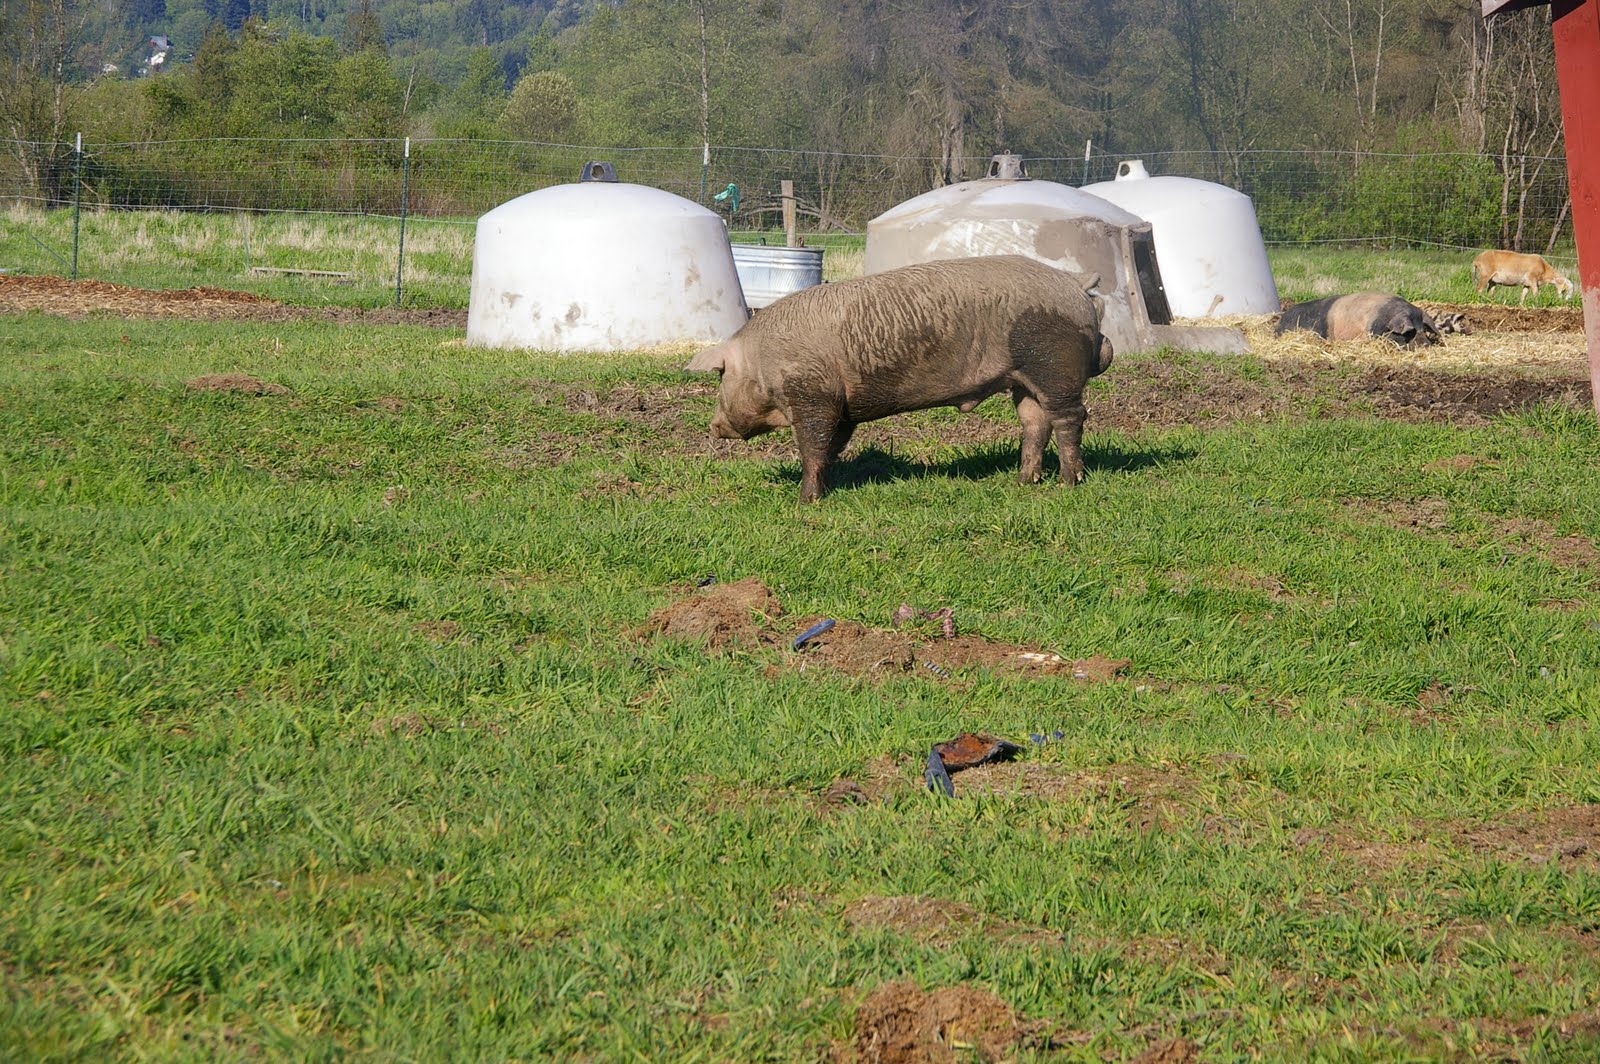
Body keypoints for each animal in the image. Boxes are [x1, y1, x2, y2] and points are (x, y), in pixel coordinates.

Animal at [686, 255, 1113, 503]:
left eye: (721, 376)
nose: (713, 427)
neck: (762, 360)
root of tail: (1074, 282)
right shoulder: (841, 408)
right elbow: (830, 449)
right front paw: (826, 489)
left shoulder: (813, 396)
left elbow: (812, 447)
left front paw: (804, 500)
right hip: (1023, 380)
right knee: (1034, 423)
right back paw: (1024, 481)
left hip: (1054, 367)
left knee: (1070, 418)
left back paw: (1068, 482)